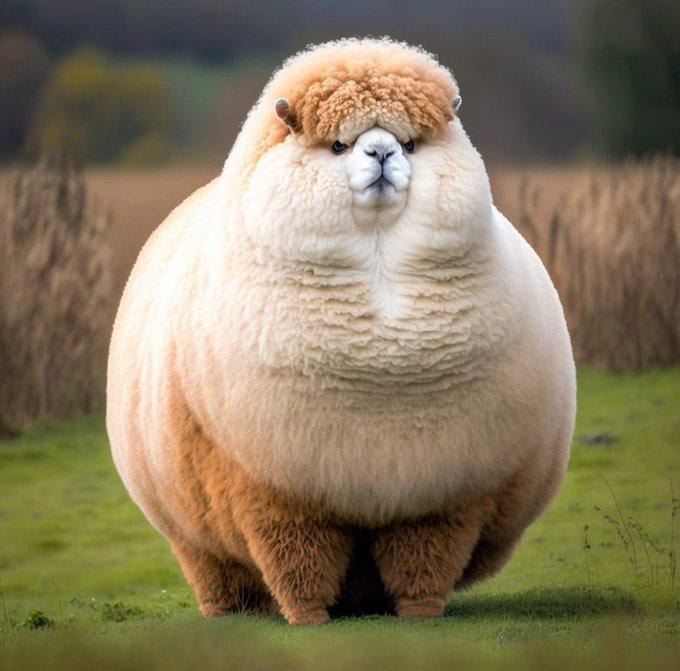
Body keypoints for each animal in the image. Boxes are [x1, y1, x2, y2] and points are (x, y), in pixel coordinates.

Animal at [107, 38, 576, 625]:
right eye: (336, 146)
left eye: (411, 144)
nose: (382, 155)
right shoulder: (277, 493)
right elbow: (297, 564)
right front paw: (307, 619)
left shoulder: (437, 494)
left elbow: (425, 562)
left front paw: (420, 614)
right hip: (193, 532)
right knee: (213, 567)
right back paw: (224, 611)